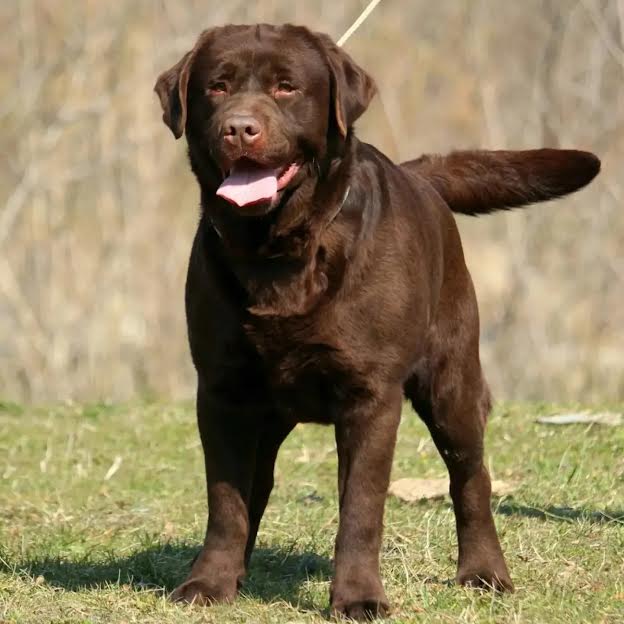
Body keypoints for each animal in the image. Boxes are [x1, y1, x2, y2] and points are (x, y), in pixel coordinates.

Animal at [155, 24, 600, 620]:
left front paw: (359, 597)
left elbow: (361, 509)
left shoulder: (371, 396)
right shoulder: (223, 391)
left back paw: (484, 573)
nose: (240, 128)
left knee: (471, 479)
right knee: (258, 485)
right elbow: (226, 501)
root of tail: (420, 180)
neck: (280, 252)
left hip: (451, 383)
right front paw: (210, 583)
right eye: (217, 87)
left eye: (286, 87)